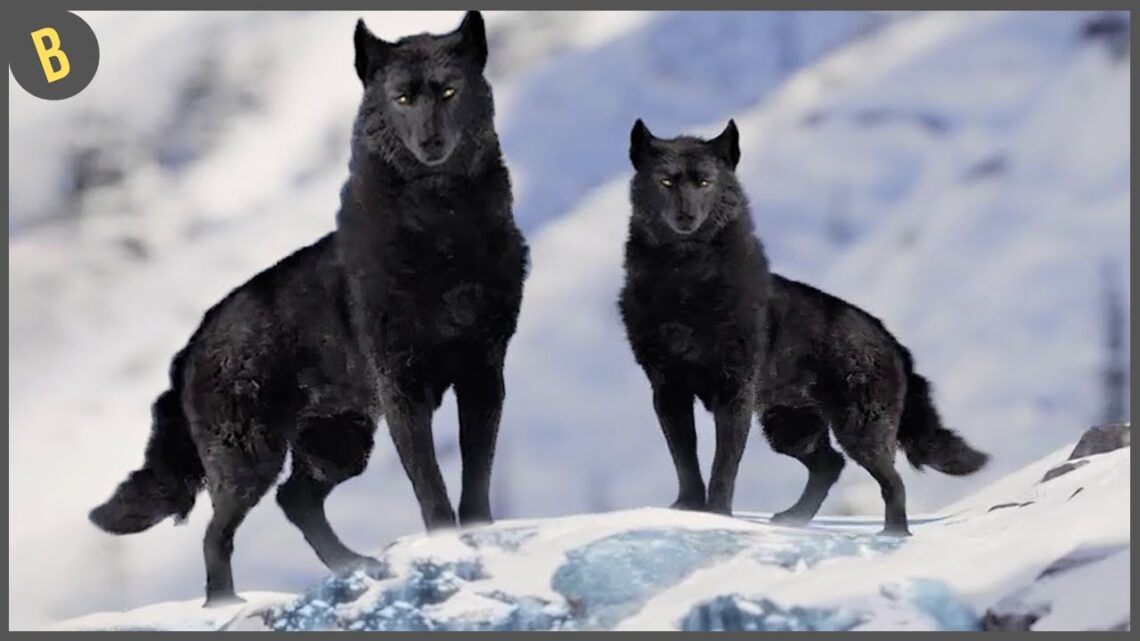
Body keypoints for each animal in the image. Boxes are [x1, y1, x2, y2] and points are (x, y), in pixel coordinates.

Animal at [89, 11, 529, 605]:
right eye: (402, 98)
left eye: (449, 91)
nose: (430, 140)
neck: (442, 231)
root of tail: (186, 352)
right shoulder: (403, 388)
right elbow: (432, 488)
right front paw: (444, 547)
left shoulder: (484, 371)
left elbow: (475, 477)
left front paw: (479, 536)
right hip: (252, 460)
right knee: (217, 532)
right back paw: (226, 603)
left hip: (338, 444)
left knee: (295, 501)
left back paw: (352, 566)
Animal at [619, 118, 772, 517]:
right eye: (665, 182)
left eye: (704, 182)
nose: (685, 216)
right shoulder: (666, 385)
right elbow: (684, 455)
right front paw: (687, 507)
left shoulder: (736, 386)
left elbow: (725, 461)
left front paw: (717, 512)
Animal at [761, 275, 989, 535]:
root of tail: (895, 344)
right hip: (790, 430)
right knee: (831, 464)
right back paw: (795, 516)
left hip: (859, 431)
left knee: (891, 483)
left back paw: (893, 533)